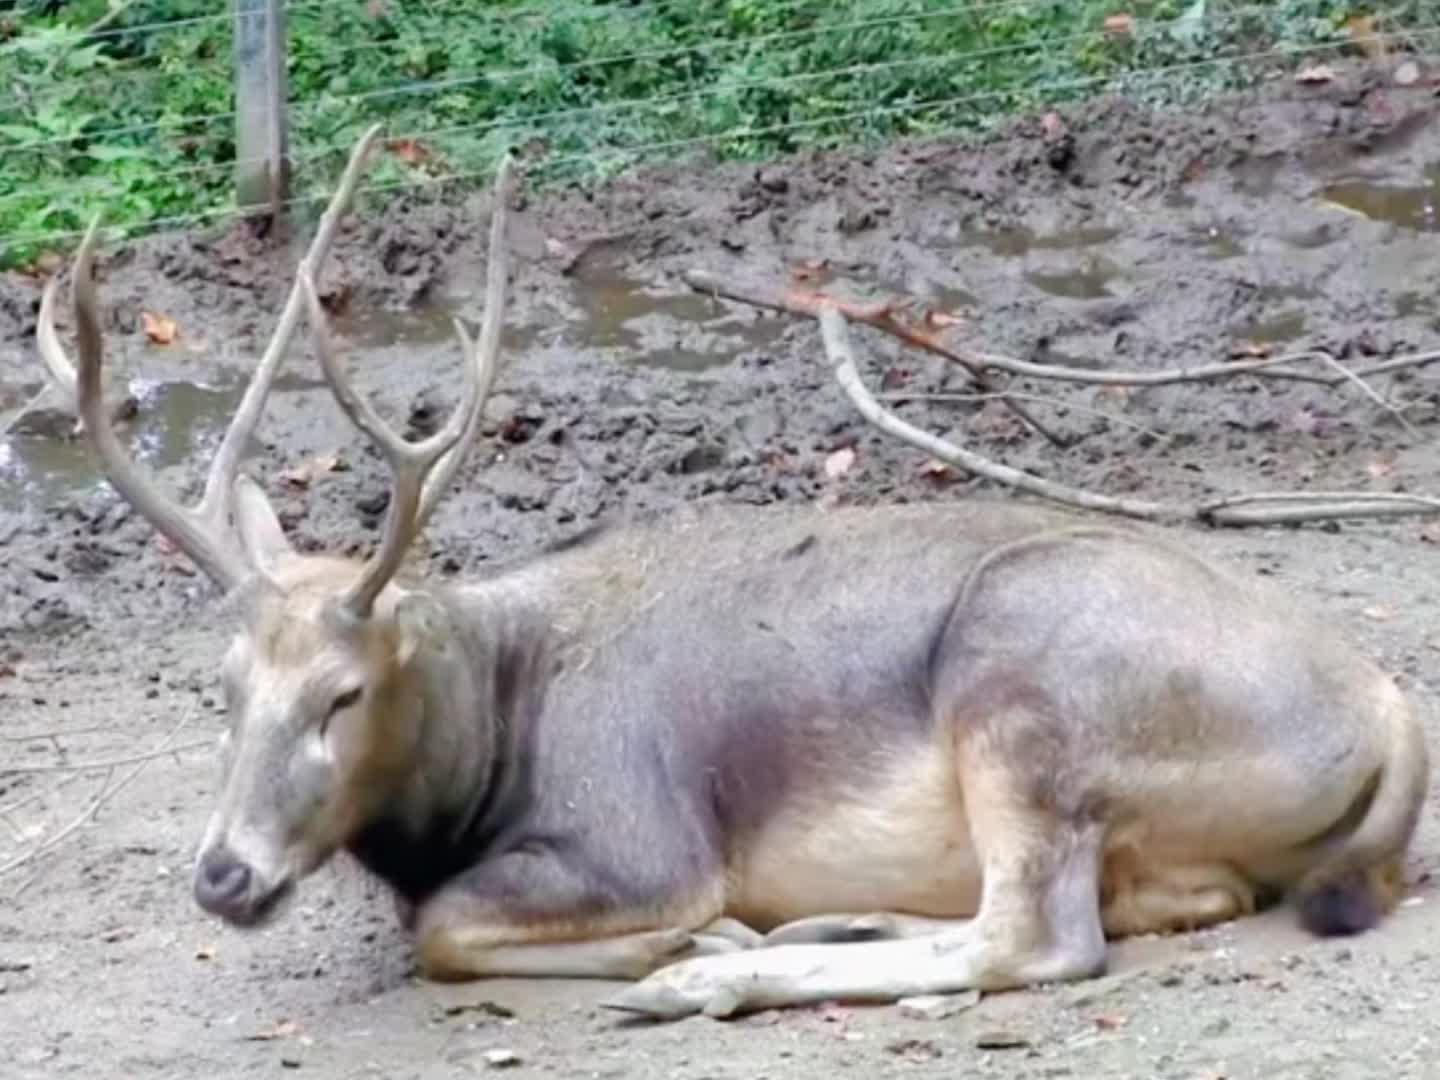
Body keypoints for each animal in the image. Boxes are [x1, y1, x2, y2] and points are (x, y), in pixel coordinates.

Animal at [34, 125, 1428, 1022]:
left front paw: (688, 940)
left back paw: (715, 974)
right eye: (222, 687)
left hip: (1023, 676)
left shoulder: (638, 838)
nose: (222, 877)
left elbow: (441, 934)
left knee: (1040, 936)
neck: (493, 742)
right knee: (1150, 902)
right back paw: (831, 923)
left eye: (344, 691)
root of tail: (1389, 712)